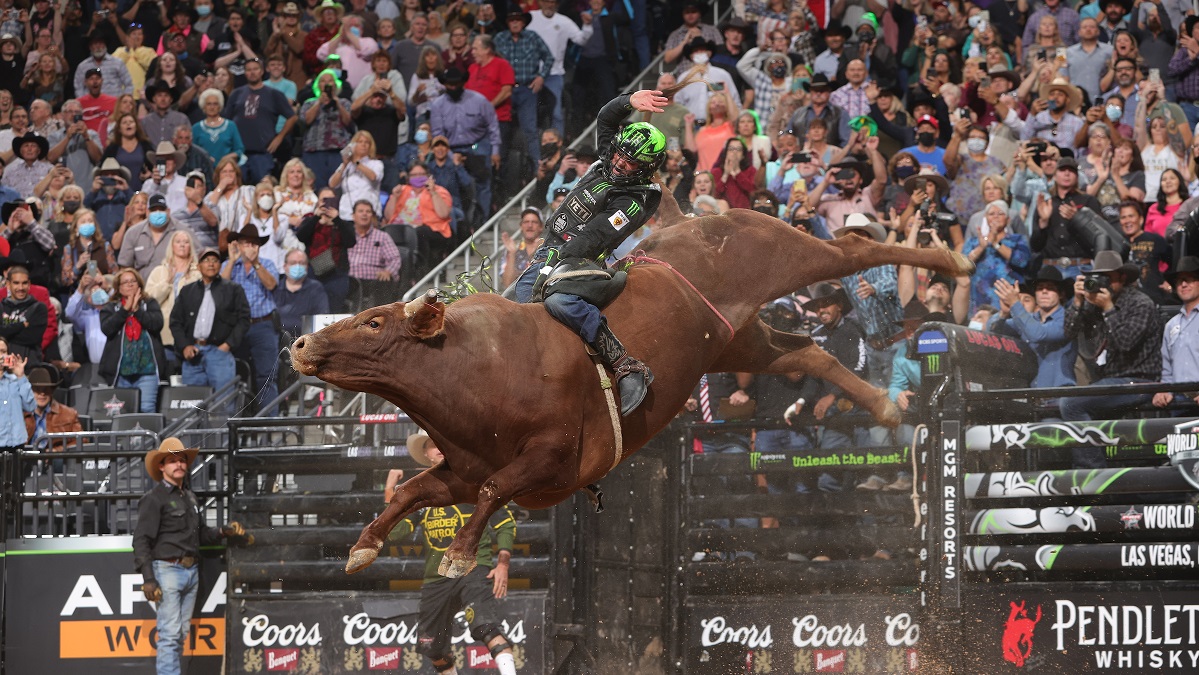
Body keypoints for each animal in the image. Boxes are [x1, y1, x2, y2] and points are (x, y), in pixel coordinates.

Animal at [290, 207, 973, 577]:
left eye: (374, 322)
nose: (299, 345)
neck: (475, 364)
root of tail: (694, 223)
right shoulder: (460, 470)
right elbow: (412, 490)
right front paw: (363, 548)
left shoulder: (551, 457)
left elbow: (490, 492)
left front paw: (459, 556)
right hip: (733, 341)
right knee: (806, 351)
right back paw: (882, 404)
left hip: (779, 252)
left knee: (851, 250)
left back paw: (953, 263)